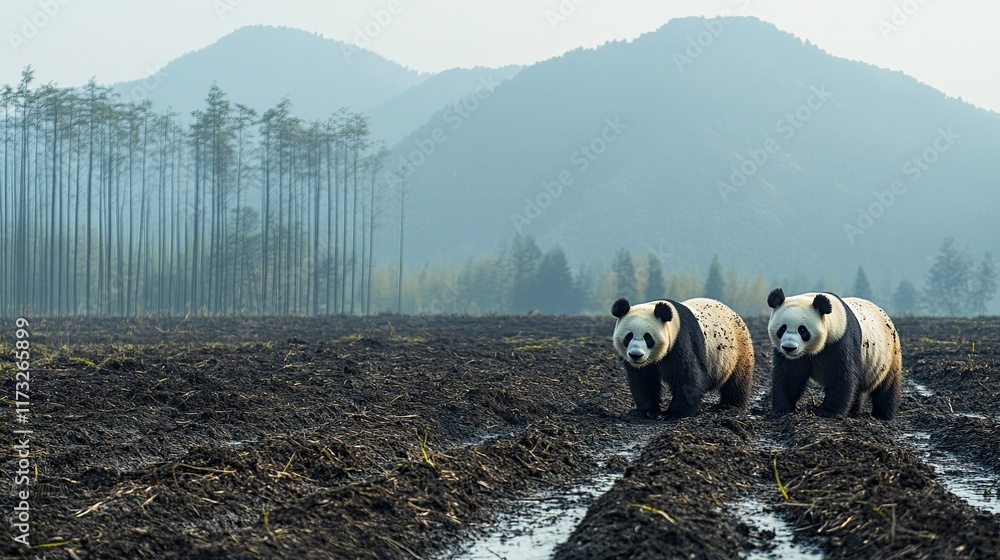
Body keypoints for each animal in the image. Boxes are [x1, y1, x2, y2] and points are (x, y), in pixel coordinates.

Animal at [611, 297, 754, 420]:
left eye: (647, 337)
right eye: (629, 336)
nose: (636, 355)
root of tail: (732, 312)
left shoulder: (680, 340)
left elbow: (687, 376)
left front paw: (672, 414)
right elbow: (643, 380)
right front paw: (646, 411)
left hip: (738, 349)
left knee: (736, 380)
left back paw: (728, 406)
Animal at [766, 288, 902, 420]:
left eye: (802, 329)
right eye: (782, 328)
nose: (789, 348)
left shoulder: (841, 339)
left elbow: (842, 375)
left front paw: (827, 412)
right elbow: (789, 375)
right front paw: (782, 409)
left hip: (889, 355)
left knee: (886, 387)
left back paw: (883, 415)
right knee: (857, 389)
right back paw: (853, 411)